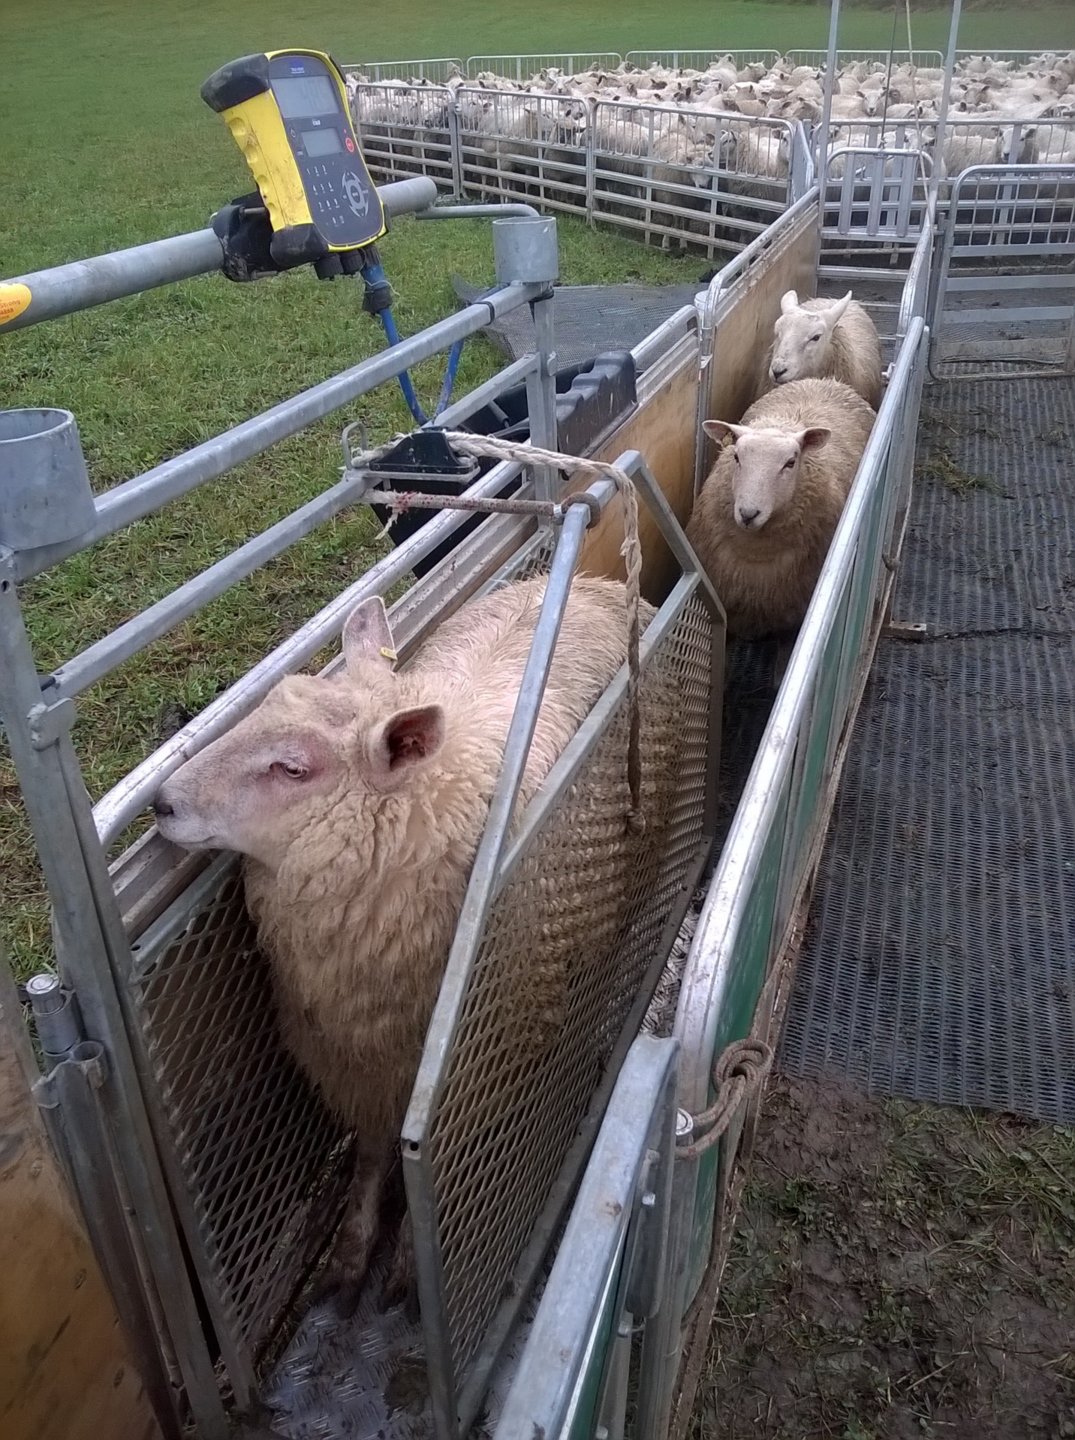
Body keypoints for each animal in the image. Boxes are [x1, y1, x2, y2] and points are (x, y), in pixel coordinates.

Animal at [152, 574, 678, 1310]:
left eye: (292, 769)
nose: (162, 804)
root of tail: (592, 581)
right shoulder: (359, 1067)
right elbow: (373, 1157)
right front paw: (350, 1253)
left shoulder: (465, 1077)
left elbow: (432, 1191)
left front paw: (406, 1266)